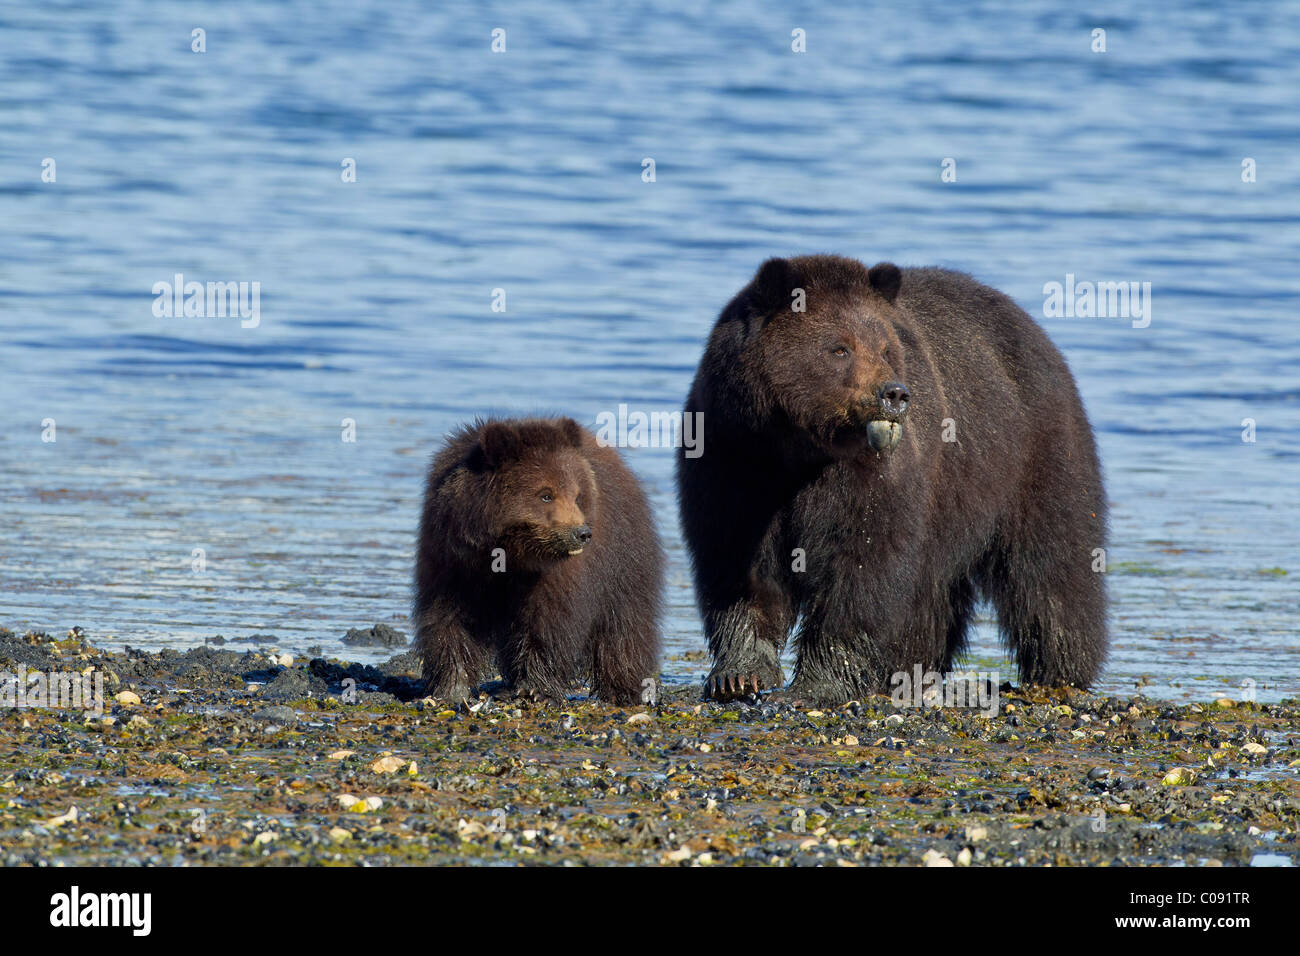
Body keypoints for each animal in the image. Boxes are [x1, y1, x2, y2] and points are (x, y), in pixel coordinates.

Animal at [413, 416, 663, 705]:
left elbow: (549, 619)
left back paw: (625, 689)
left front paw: (534, 689)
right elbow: (448, 615)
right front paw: (450, 687)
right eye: (546, 494)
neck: (508, 554)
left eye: (577, 495)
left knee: (625, 628)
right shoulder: (453, 556)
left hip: (624, 560)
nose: (581, 533)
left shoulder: (556, 571)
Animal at [677, 254, 1107, 705]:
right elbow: (736, 558)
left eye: (885, 348)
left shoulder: (873, 473)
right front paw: (738, 673)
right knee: (932, 592)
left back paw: (1060, 669)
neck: (798, 446)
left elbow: (863, 560)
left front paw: (816, 683)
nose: (894, 394)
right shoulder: (734, 452)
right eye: (840, 348)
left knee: (1052, 563)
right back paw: (909, 668)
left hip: (1030, 451)